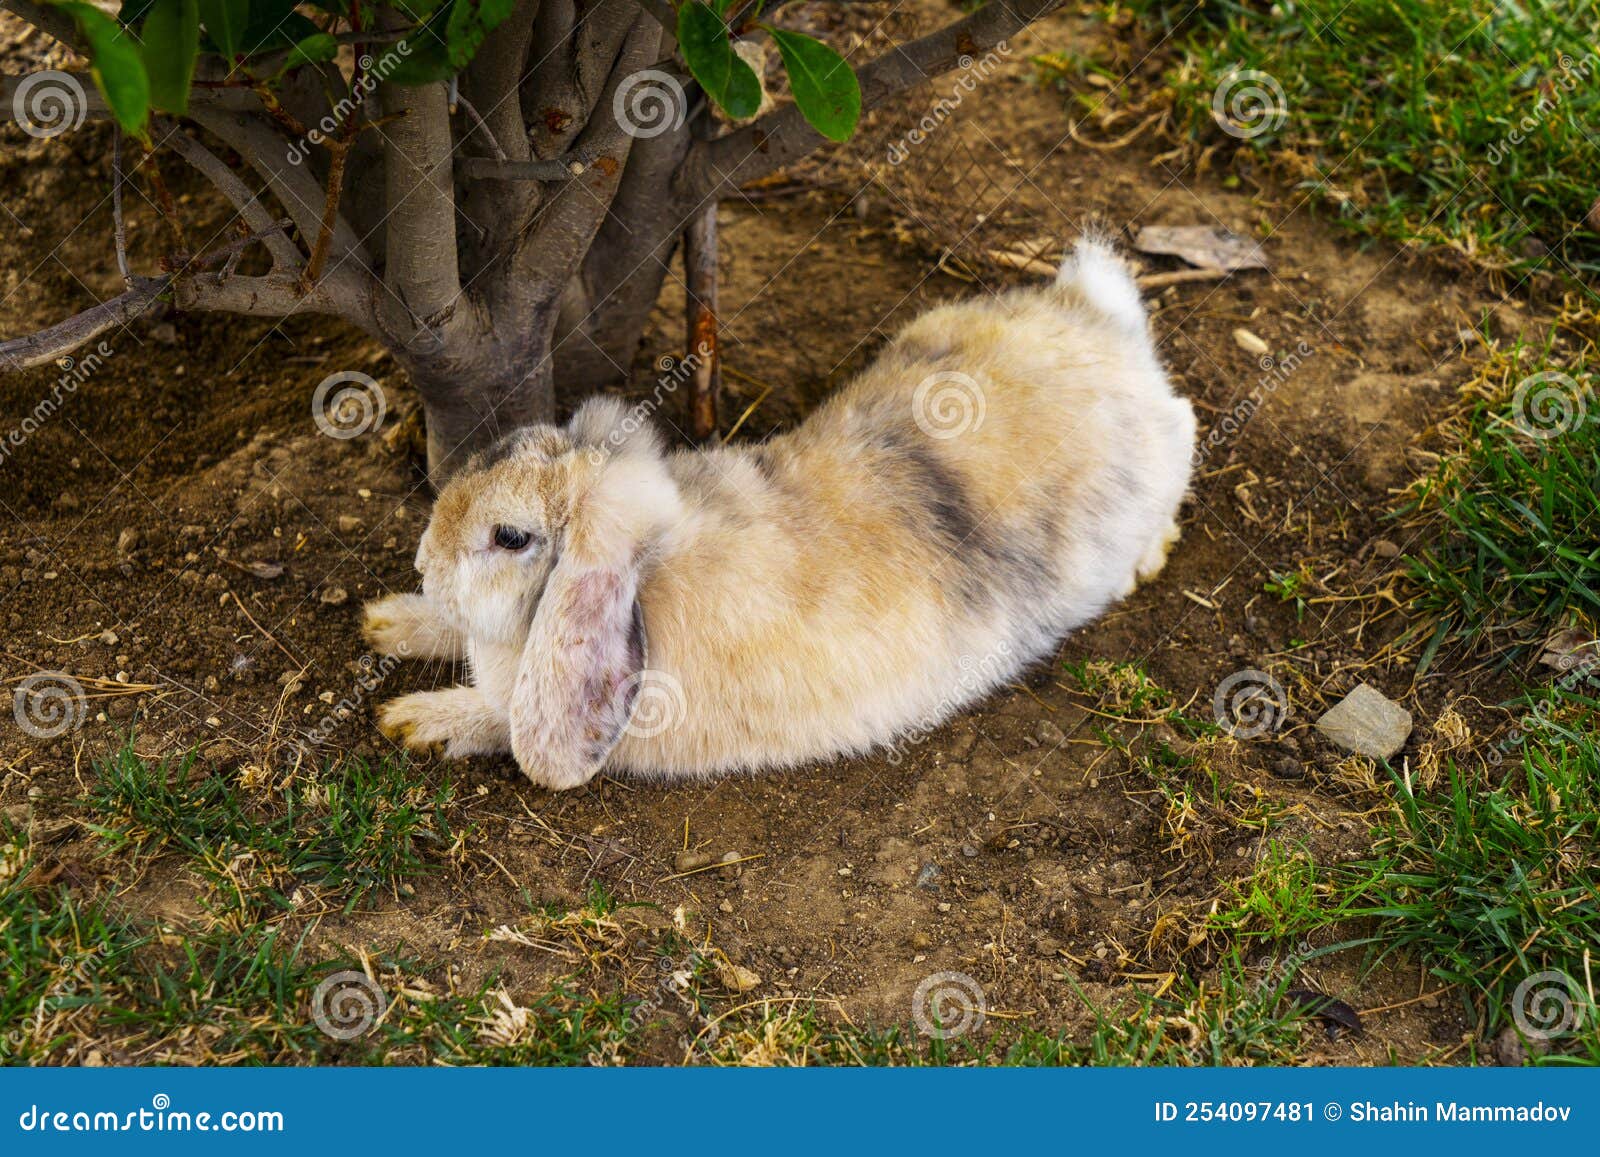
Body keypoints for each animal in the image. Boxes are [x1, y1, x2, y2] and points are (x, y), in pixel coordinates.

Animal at [364, 237, 1196, 791]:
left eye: (510, 537)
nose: (423, 562)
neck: (647, 564)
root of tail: (1097, 317)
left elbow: (503, 721)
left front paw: (419, 718)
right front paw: (390, 620)